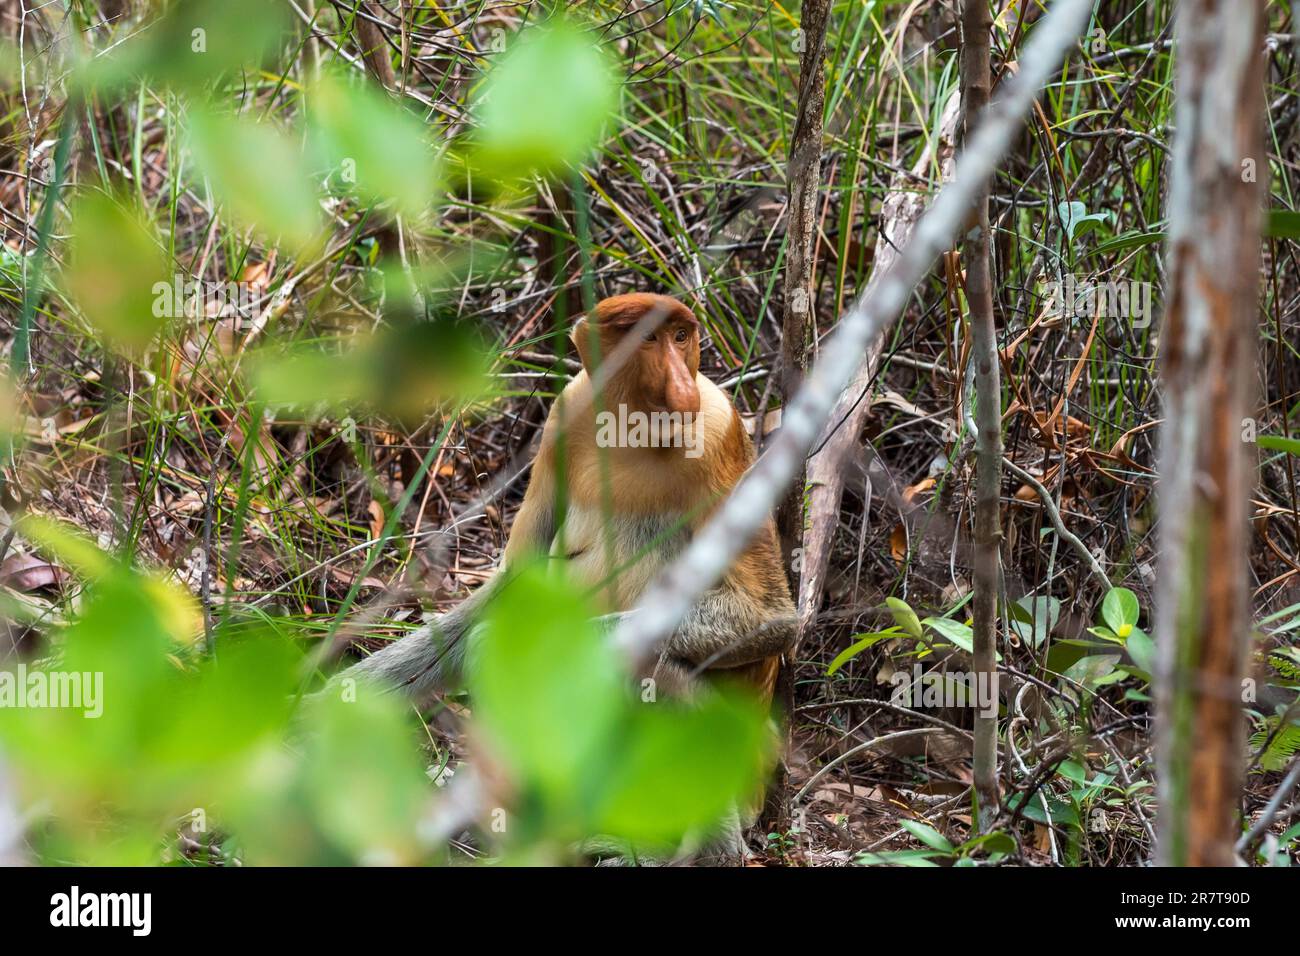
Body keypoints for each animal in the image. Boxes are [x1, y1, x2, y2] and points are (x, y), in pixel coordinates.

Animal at [344, 292, 796, 708]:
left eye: (681, 336)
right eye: (648, 339)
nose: (683, 390)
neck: (630, 431)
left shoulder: (716, 432)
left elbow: (766, 616)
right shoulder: (564, 416)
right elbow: (516, 580)